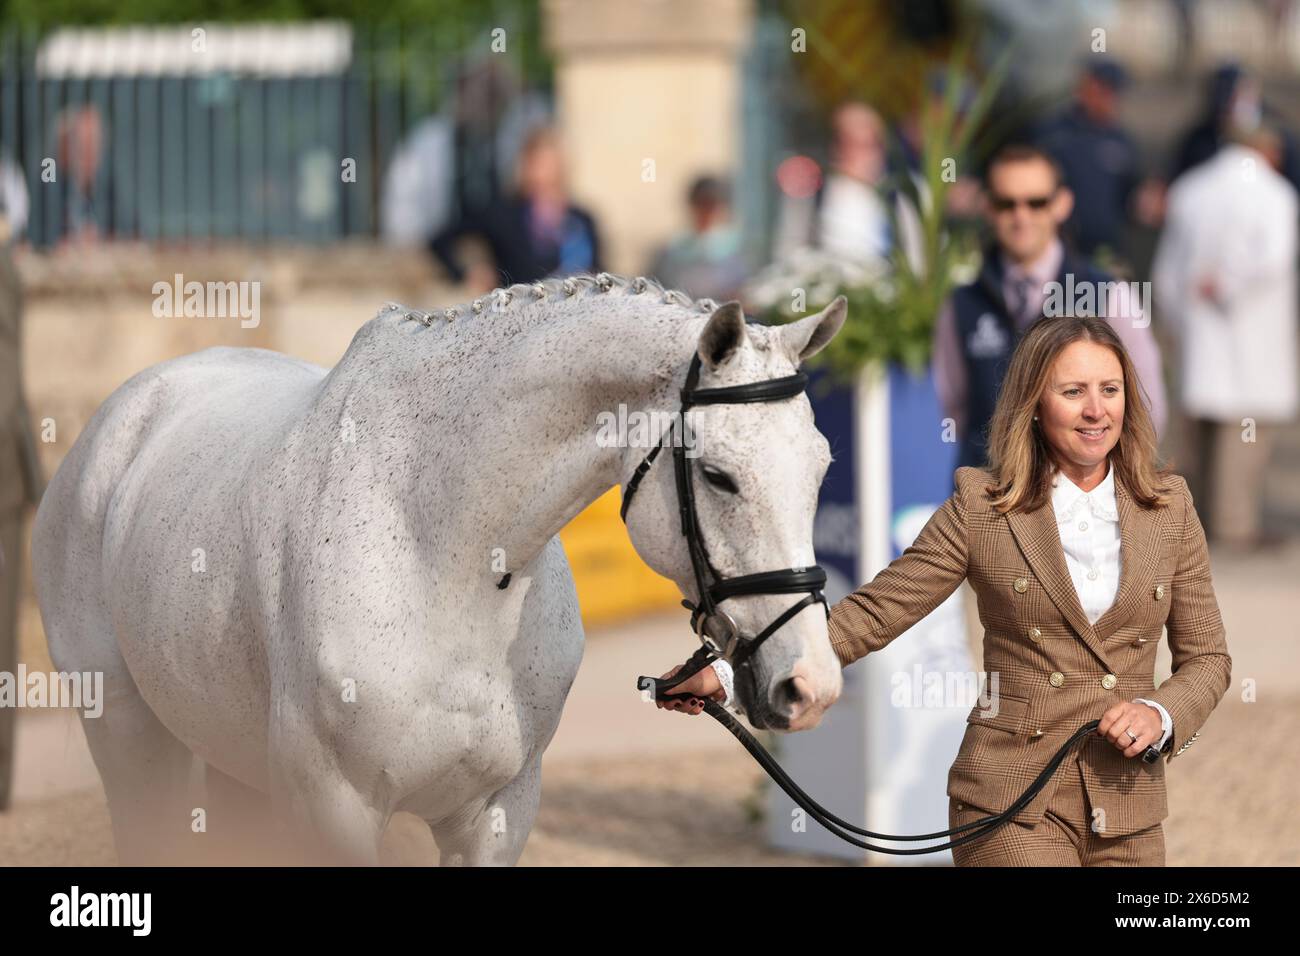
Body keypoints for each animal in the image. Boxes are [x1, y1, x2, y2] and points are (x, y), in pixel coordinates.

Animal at [31, 272, 847, 865]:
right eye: (718, 476)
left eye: (822, 465)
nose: (809, 685)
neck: (448, 563)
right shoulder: (335, 811)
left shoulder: (497, 813)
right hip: (132, 739)